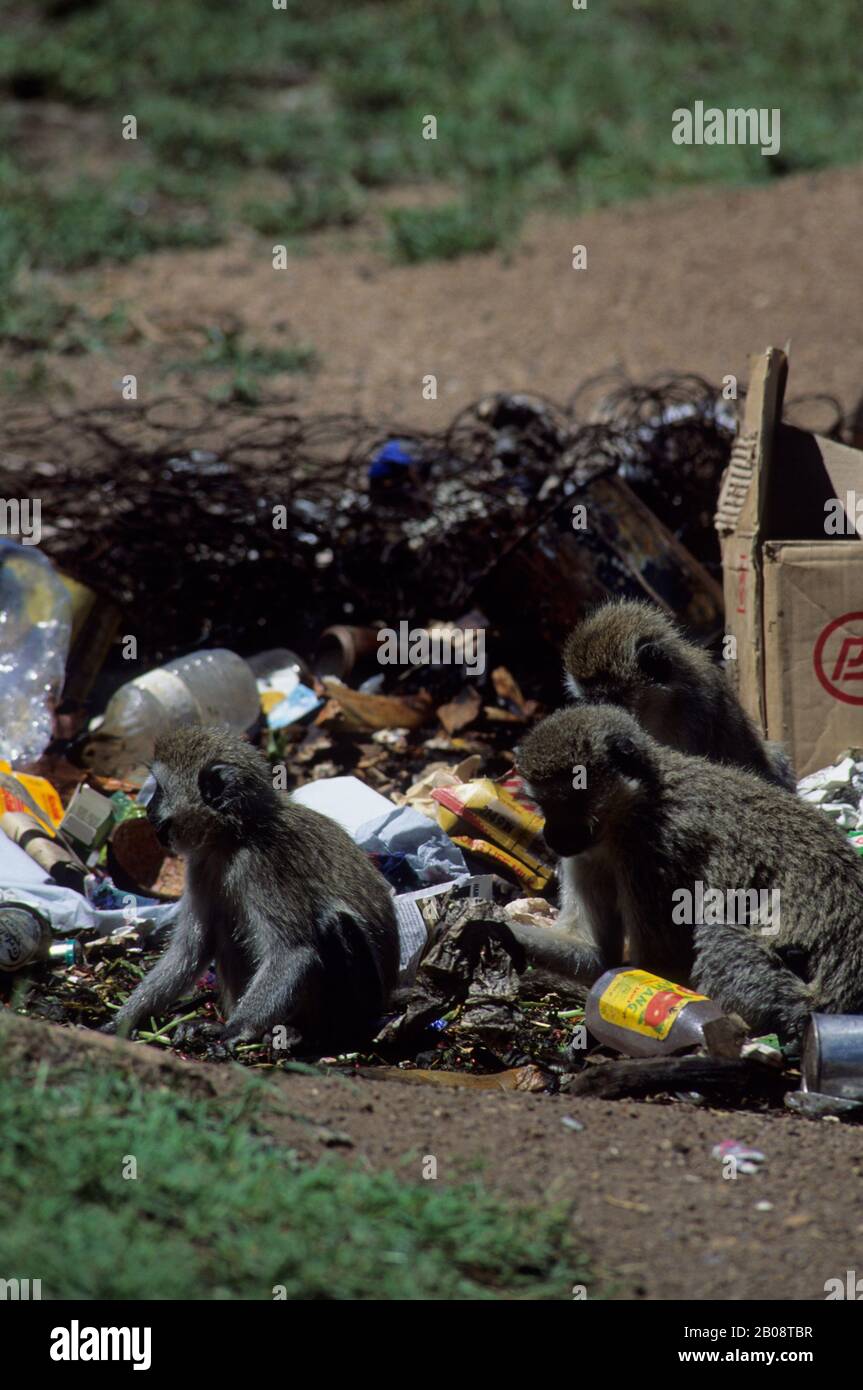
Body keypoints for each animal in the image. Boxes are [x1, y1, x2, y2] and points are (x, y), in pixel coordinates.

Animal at [106, 726, 399, 1053]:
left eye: (158, 789)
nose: (147, 809)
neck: (236, 835)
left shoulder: (262, 866)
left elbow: (293, 952)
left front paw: (232, 1031)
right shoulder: (201, 865)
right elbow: (191, 949)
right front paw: (126, 1019)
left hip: (362, 1001)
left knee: (332, 923)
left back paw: (317, 1035)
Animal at [510, 704, 863, 1040]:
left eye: (571, 802)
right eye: (544, 804)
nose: (552, 835)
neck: (634, 806)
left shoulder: (653, 854)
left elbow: (657, 967)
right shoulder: (586, 855)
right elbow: (593, 951)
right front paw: (498, 929)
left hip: (786, 998)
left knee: (718, 932)